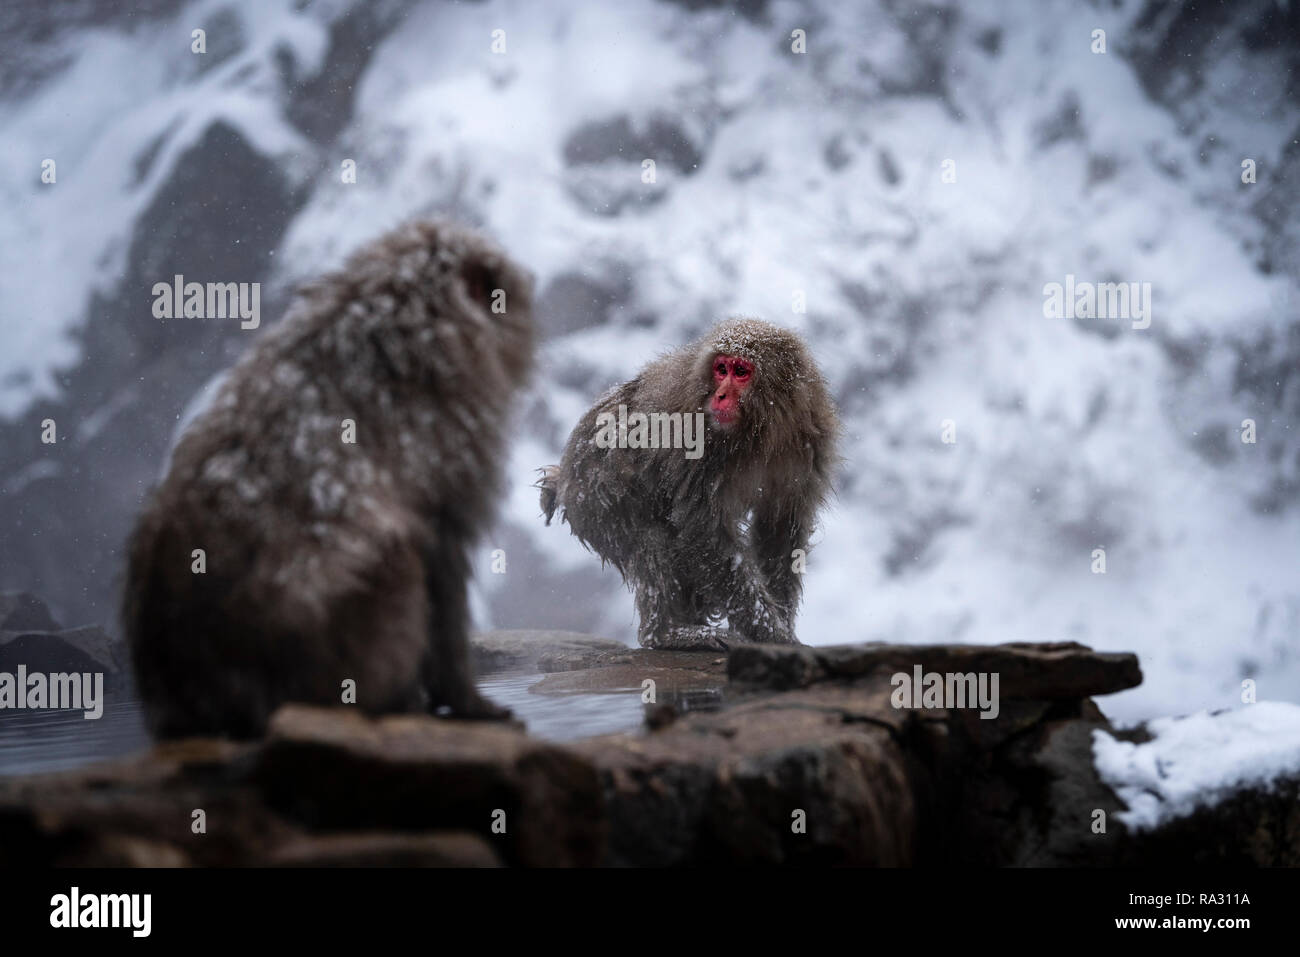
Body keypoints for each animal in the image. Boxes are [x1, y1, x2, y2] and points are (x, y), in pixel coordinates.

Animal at [538, 317, 839, 650]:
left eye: (741, 371)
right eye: (721, 369)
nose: (720, 396)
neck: (758, 433)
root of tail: (563, 475)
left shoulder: (809, 440)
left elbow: (781, 528)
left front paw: (781, 626)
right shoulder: (693, 439)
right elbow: (703, 531)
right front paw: (772, 633)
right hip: (595, 496)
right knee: (650, 536)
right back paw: (666, 633)